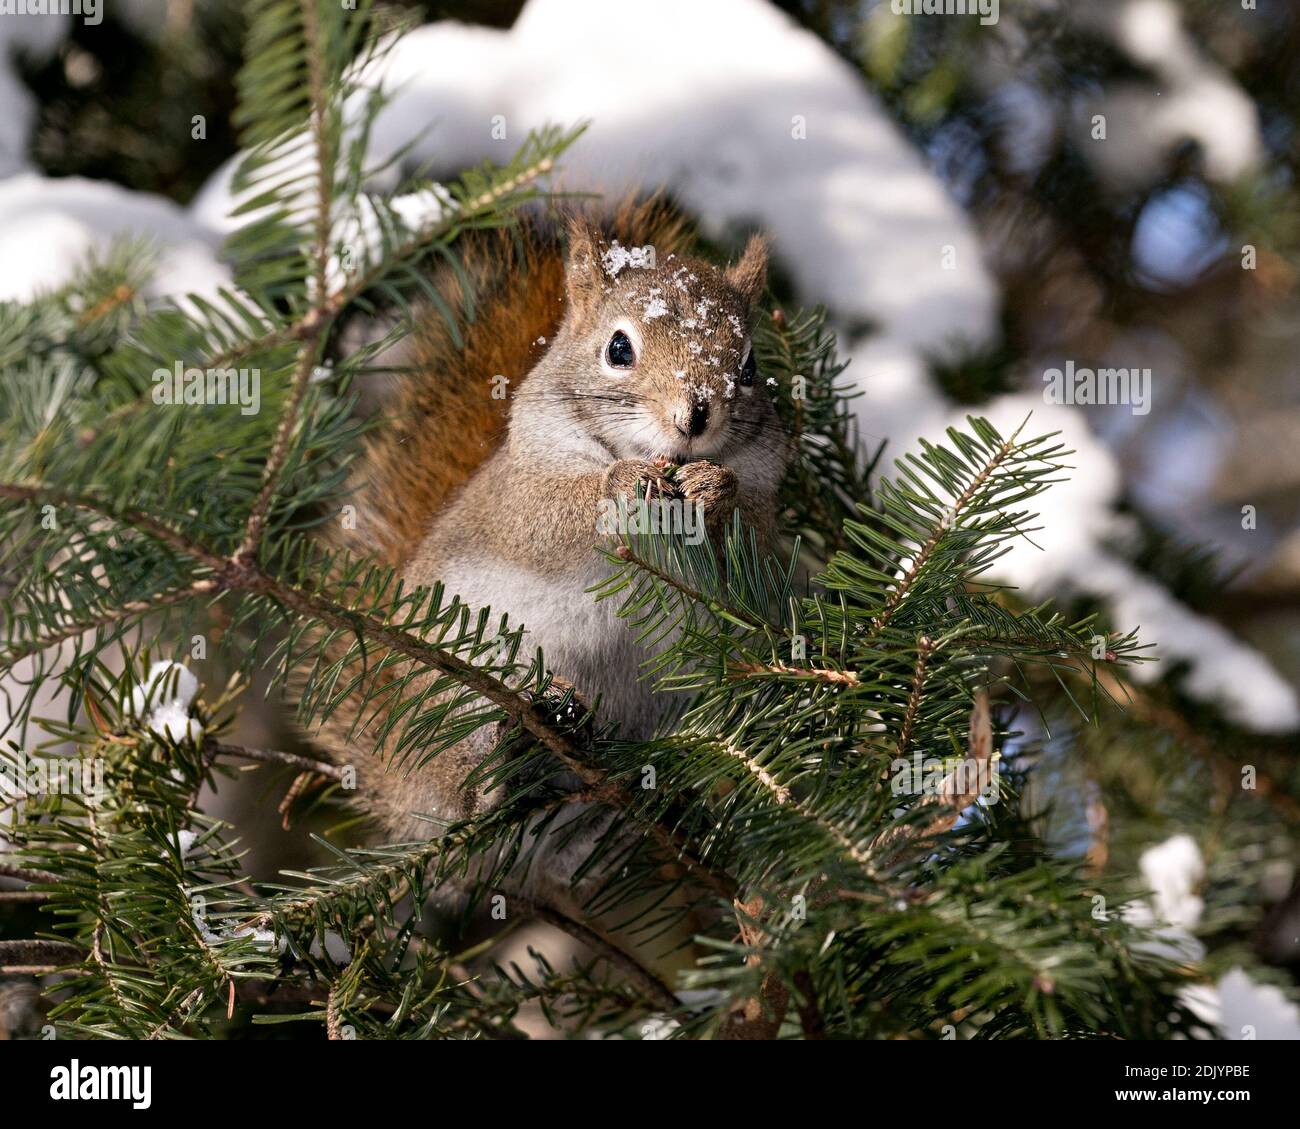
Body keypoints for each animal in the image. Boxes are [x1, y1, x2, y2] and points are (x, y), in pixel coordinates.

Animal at [313, 199, 790, 907]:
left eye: (752, 366)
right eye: (618, 348)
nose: (695, 416)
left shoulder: (768, 510)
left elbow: (750, 548)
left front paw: (716, 490)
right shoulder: (521, 493)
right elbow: (553, 517)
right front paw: (622, 483)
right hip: (455, 703)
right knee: (462, 795)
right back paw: (510, 760)